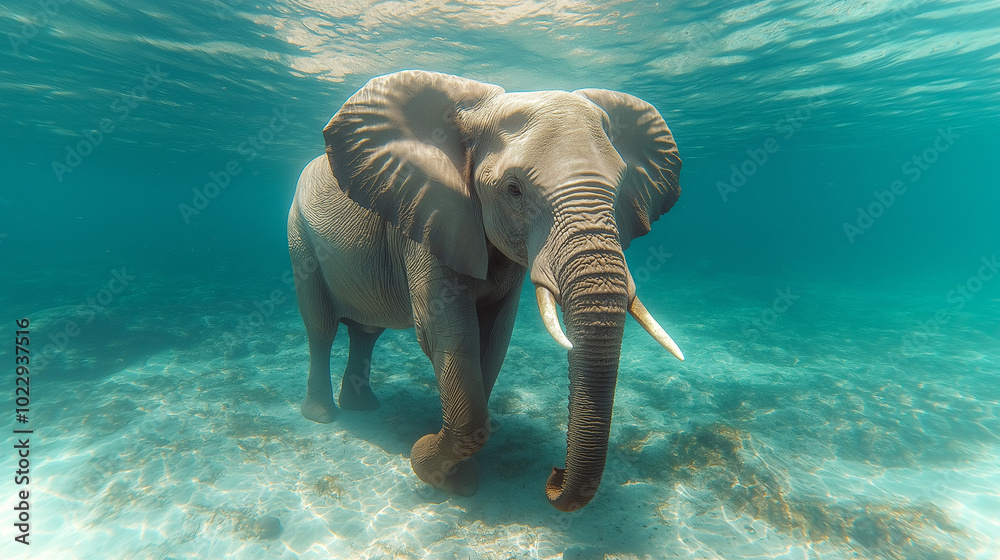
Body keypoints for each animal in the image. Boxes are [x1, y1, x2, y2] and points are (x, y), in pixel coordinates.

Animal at [287, 70, 684, 512]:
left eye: (619, 190)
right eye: (514, 190)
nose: (554, 474)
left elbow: (493, 338)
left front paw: (456, 479)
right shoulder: (429, 219)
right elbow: (448, 334)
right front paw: (433, 470)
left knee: (365, 332)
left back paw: (363, 406)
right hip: (300, 238)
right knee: (321, 329)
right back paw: (323, 416)